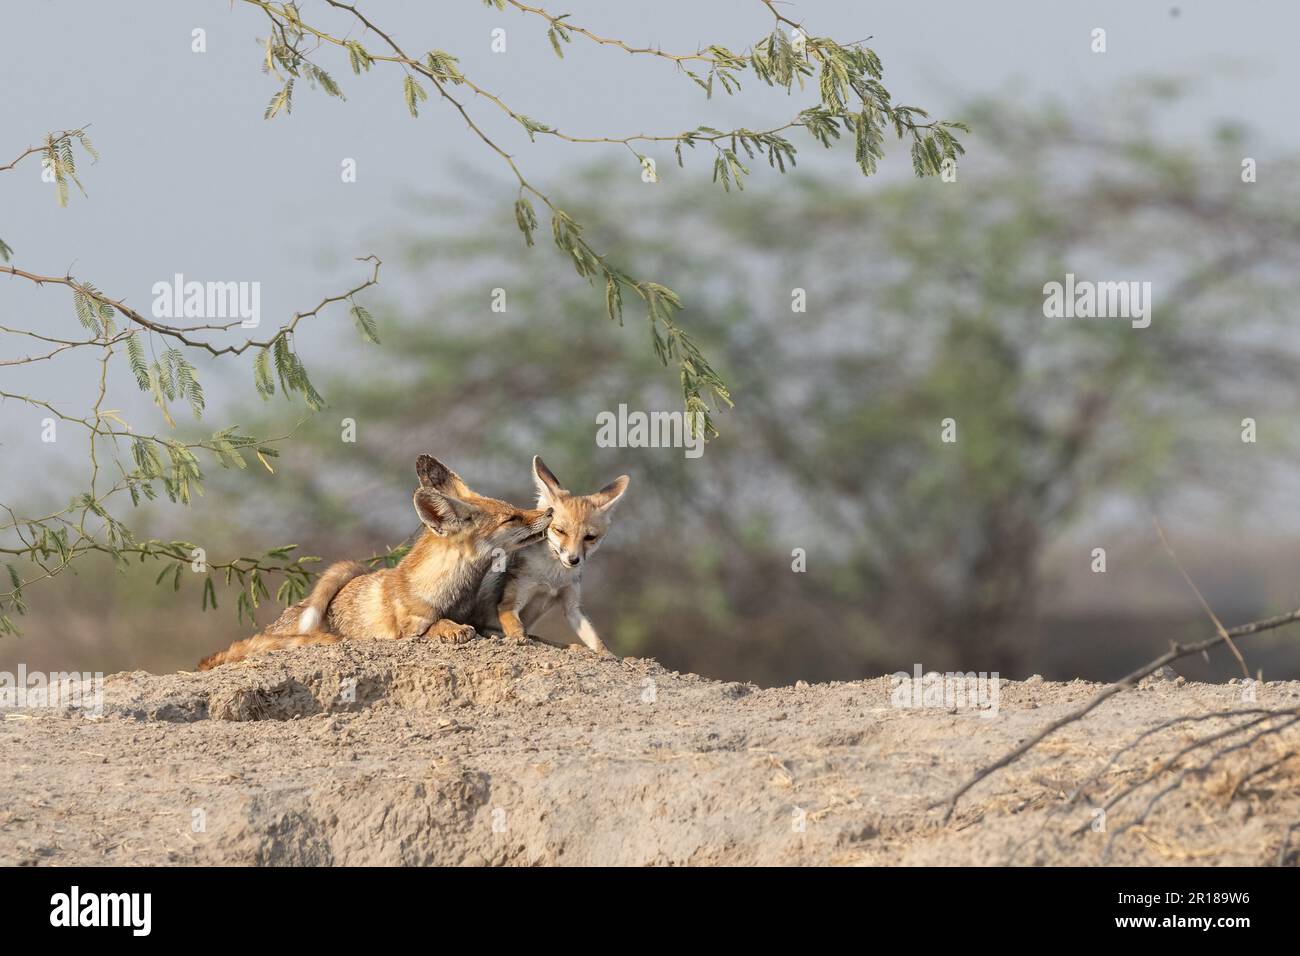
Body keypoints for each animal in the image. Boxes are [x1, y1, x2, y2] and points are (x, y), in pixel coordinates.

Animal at [196, 455, 552, 670]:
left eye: (514, 509)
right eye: (511, 518)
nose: (549, 512)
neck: (453, 591)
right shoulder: (407, 629)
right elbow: (432, 627)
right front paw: (450, 628)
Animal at [470, 456, 628, 655]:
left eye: (590, 537)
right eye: (560, 531)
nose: (573, 560)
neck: (552, 577)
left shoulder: (572, 606)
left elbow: (595, 639)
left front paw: (607, 655)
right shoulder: (509, 603)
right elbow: (518, 630)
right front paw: (520, 641)